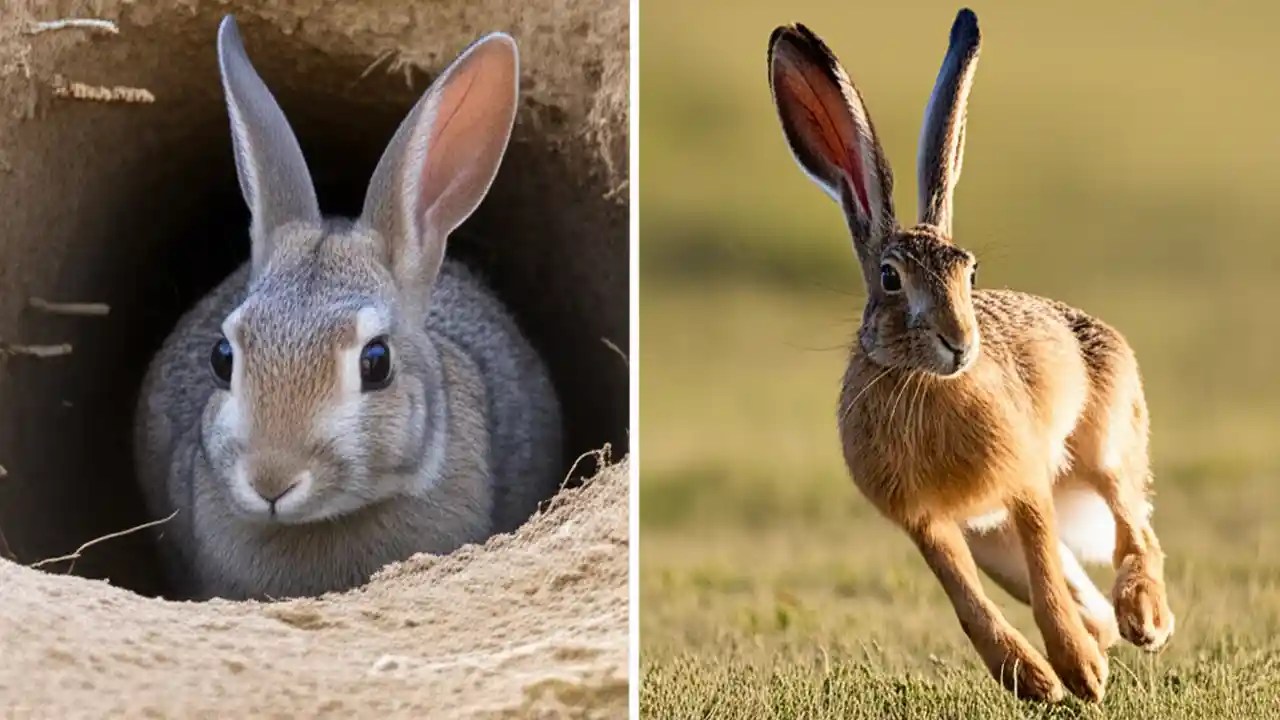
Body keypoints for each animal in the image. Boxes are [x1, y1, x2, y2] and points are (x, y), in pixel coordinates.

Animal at [767, 8, 1173, 703]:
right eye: (891, 278)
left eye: (969, 271)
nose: (960, 341)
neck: (924, 384)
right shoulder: (926, 522)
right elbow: (965, 597)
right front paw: (1037, 678)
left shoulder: (1024, 482)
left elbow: (1045, 569)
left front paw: (1078, 673)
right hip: (992, 541)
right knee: (1077, 581)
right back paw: (1102, 636)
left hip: (1105, 444)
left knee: (1132, 529)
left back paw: (1143, 620)